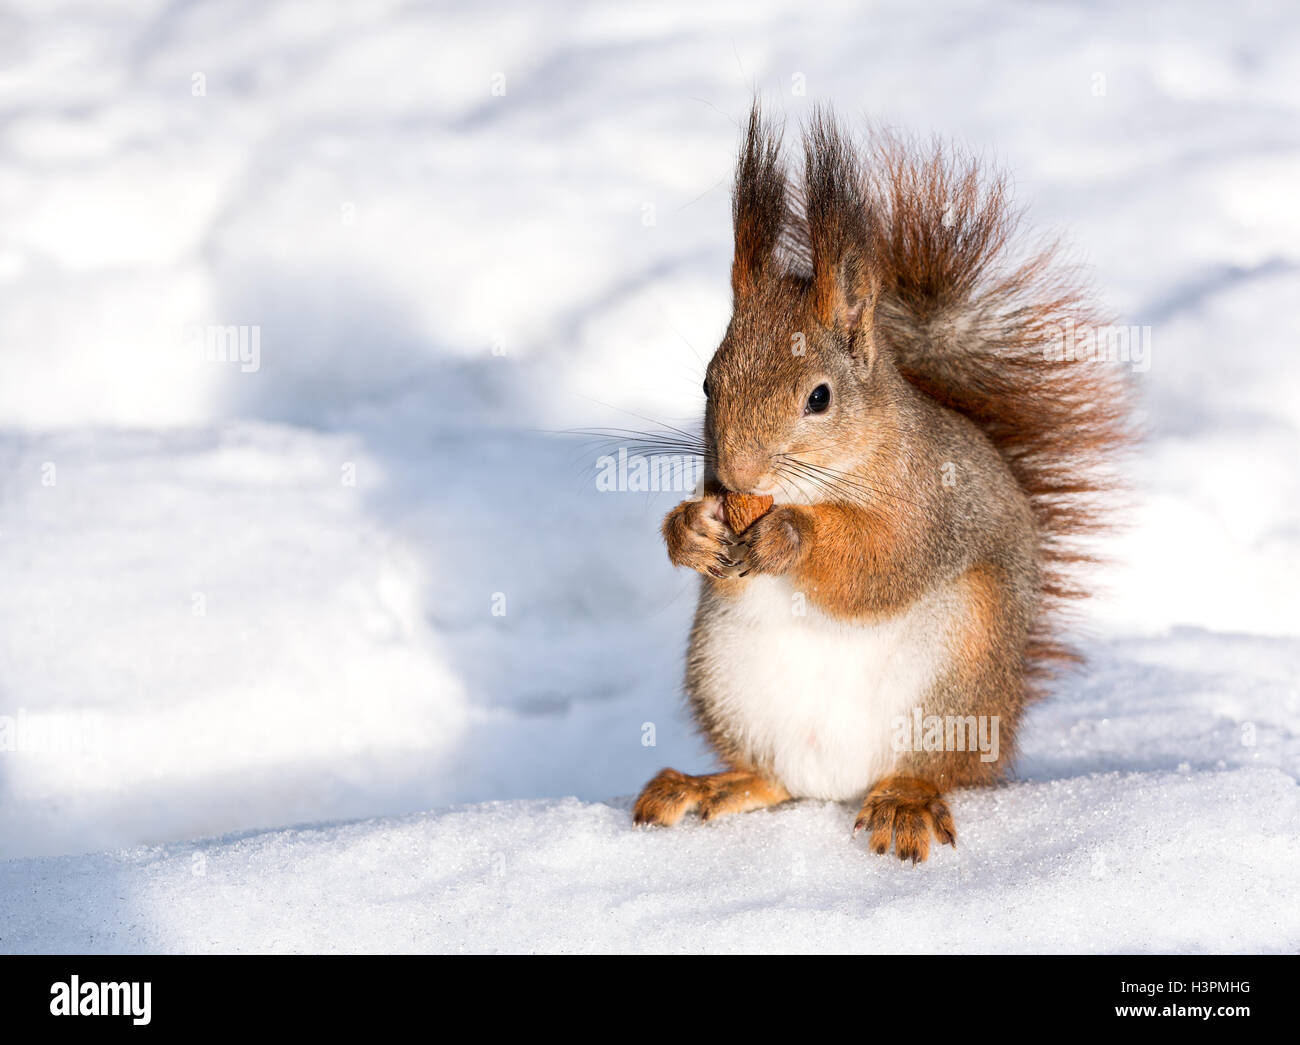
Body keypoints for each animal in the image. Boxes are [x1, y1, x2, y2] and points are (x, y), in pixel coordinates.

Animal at [632, 104, 1132, 861]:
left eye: (819, 397)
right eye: (708, 383)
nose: (740, 473)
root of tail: (841, 782)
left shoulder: (933, 502)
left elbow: (883, 559)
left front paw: (791, 535)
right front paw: (691, 529)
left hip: (957, 678)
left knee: (929, 767)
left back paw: (905, 802)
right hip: (724, 676)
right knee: (774, 778)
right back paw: (706, 786)